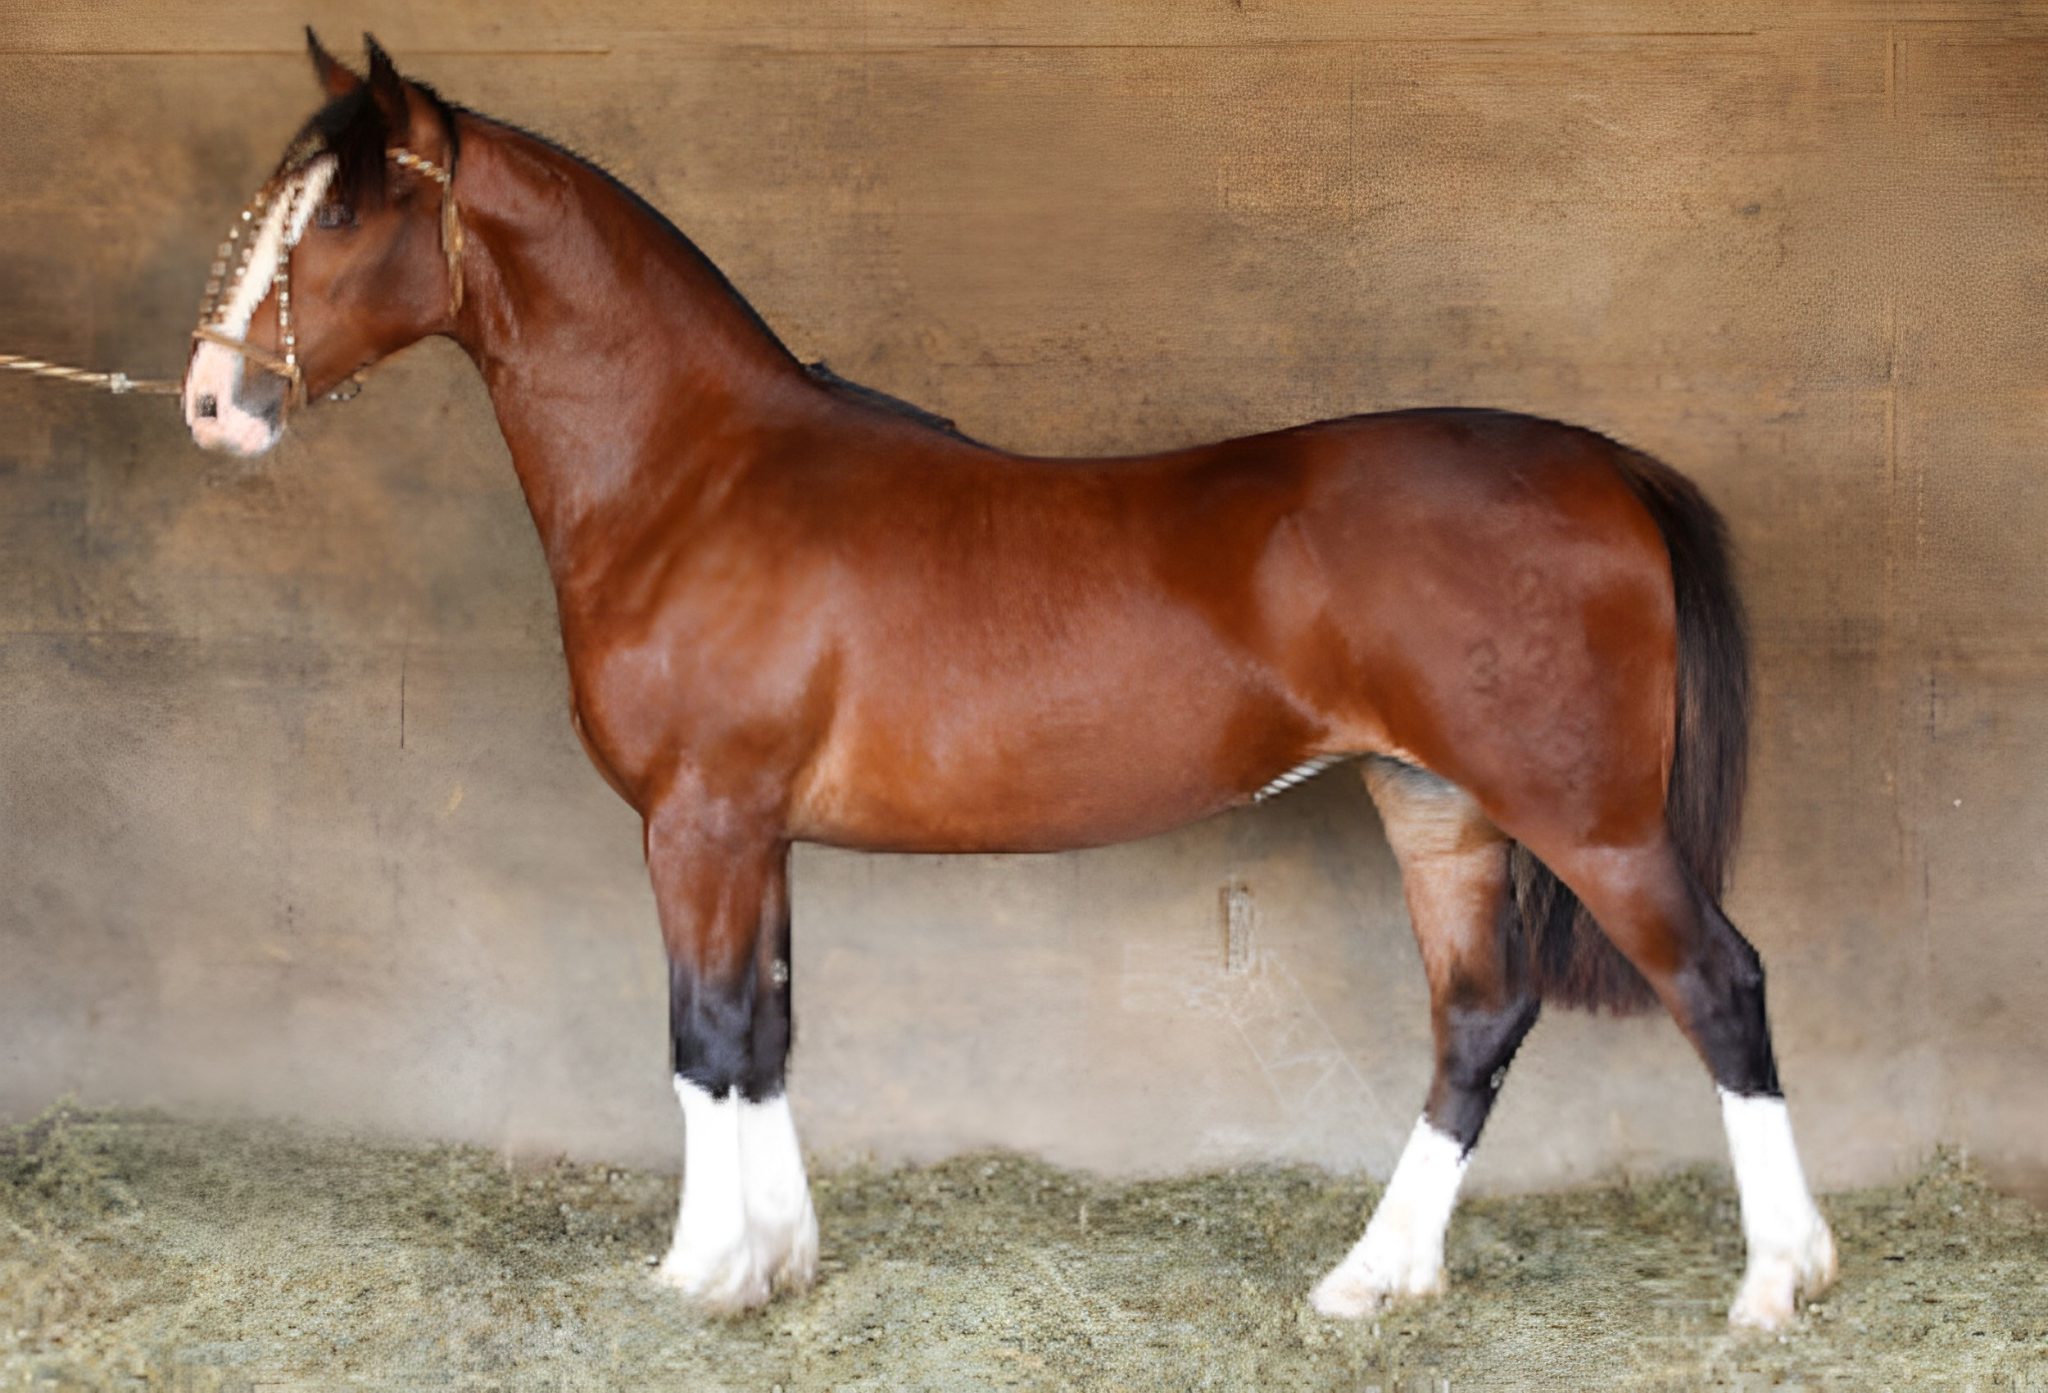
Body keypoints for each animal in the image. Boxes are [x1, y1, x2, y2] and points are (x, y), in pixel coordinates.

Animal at [180, 32, 1837, 1330]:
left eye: (344, 213)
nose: (211, 402)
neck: (697, 476)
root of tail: (1604, 462)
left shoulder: (697, 821)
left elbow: (702, 1038)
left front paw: (701, 1274)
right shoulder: (755, 833)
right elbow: (767, 1031)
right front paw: (777, 1263)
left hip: (1588, 816)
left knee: (1719, 982)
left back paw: (1776, 1282)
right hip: (1436, 803)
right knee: (1480, 1018)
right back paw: (1375, 1279)